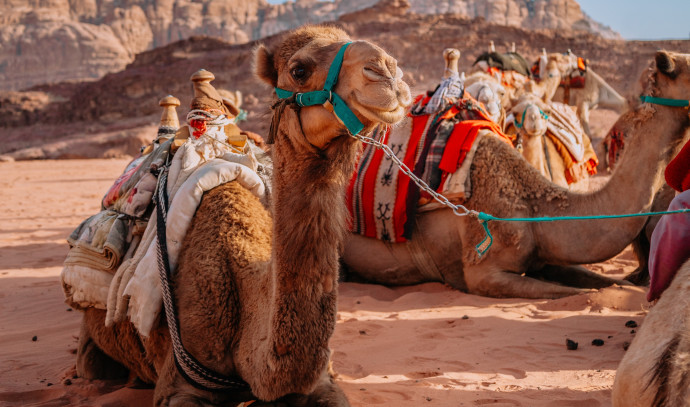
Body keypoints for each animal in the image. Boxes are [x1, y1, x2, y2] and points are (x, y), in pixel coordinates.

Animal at [342, 51, 690, 299]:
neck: (535, 205)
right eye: (686, 66)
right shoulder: (484, 273)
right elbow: (573, 294)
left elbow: (610, 285)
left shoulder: (548, 257)